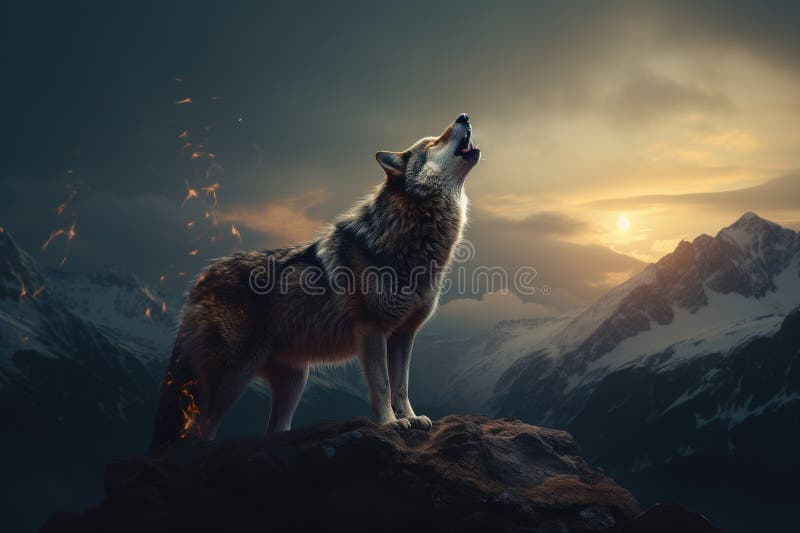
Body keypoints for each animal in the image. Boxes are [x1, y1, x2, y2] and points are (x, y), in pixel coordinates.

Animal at [151, 113, 480, 449]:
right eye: (435, 141)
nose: (464, 116)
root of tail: (200, 281)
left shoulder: (403, 335)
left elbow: (401, 386)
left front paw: (412, 418)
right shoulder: (371, 330)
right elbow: (382, 386)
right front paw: (390, 423)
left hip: (296, 380)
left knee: (274, 429)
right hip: (232, 380)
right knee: (198, 431)